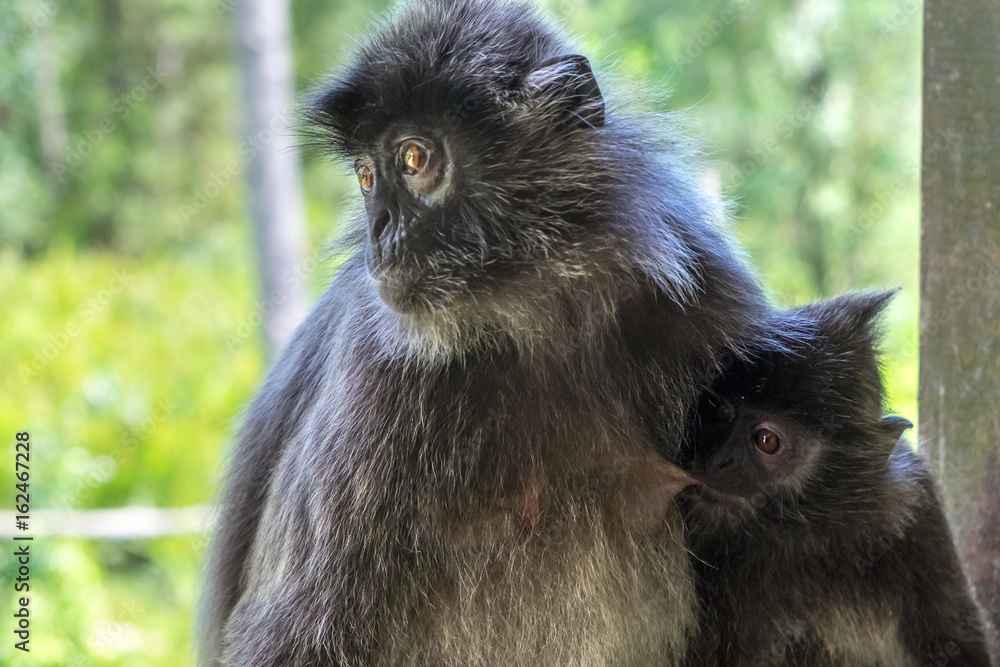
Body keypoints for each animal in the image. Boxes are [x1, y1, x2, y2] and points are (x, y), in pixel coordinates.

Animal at [197, 0, 781, 664]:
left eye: (413, 160)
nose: (380, 229)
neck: (543, 321)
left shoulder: (712, 303)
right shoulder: (377, 373)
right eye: (366, 176)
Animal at [680, 290, 991, 667]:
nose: (718, 461)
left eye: (767, 441)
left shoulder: (918, 511)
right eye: (720, 412)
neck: (814, 540)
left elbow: (953, 636)